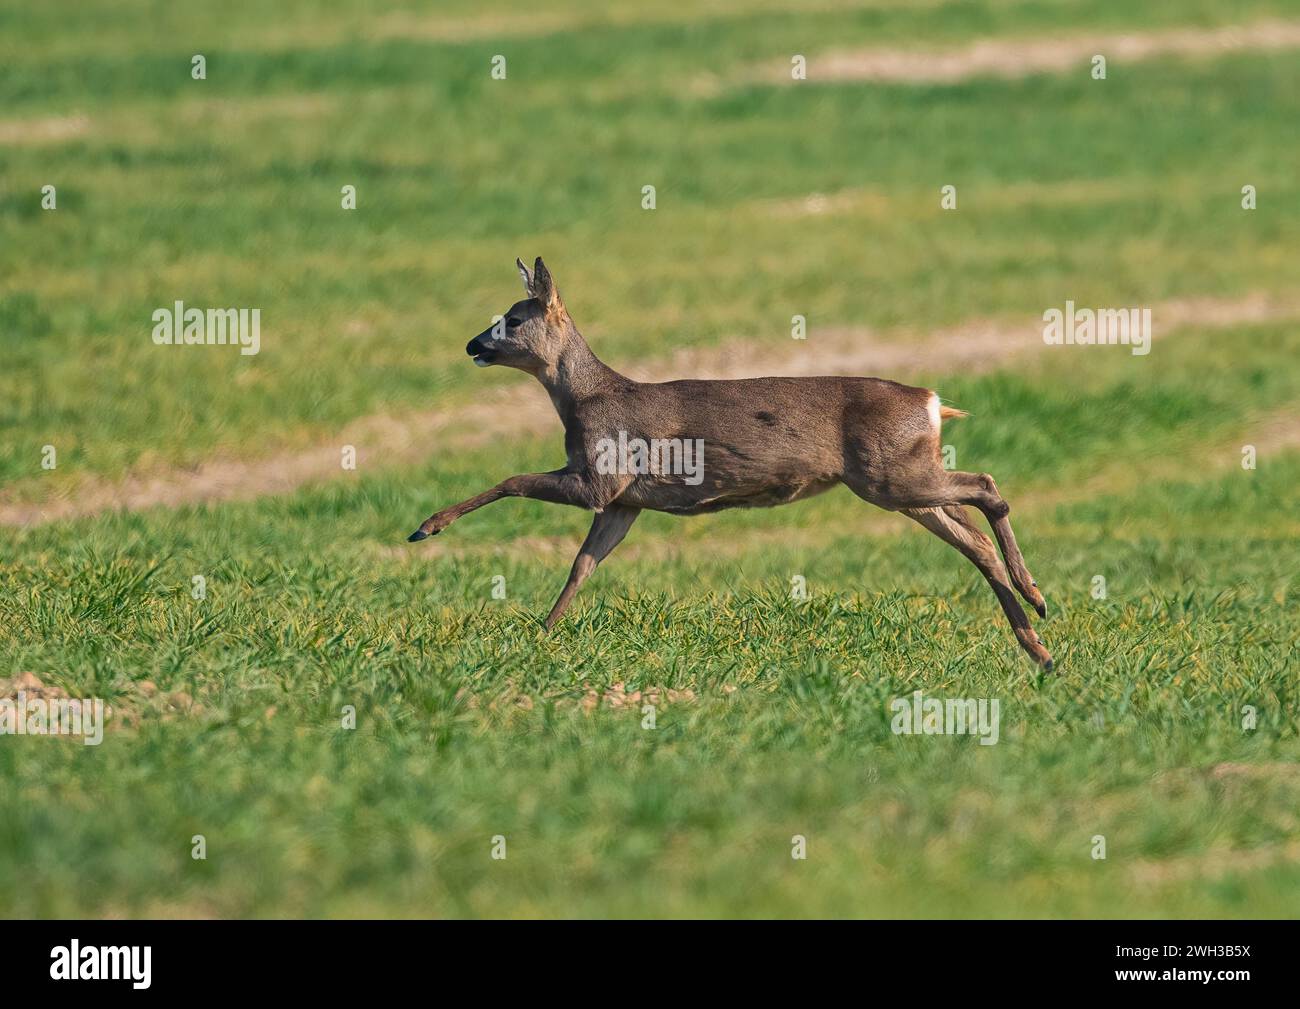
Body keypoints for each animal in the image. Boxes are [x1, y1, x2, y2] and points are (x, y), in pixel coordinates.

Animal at [408, 258, 1053, 670]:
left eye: (512, 319)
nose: (472, 345)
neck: (586, 398)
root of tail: (932, 401)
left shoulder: (601, 478)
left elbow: (512, 479)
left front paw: (426, 527)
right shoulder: (623, 504)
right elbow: (581, 567)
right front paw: (541, 636)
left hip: (890, 476)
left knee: (985, 487)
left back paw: (1037, 600)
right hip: (900, 483)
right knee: (974, 538)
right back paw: (1040, 646)